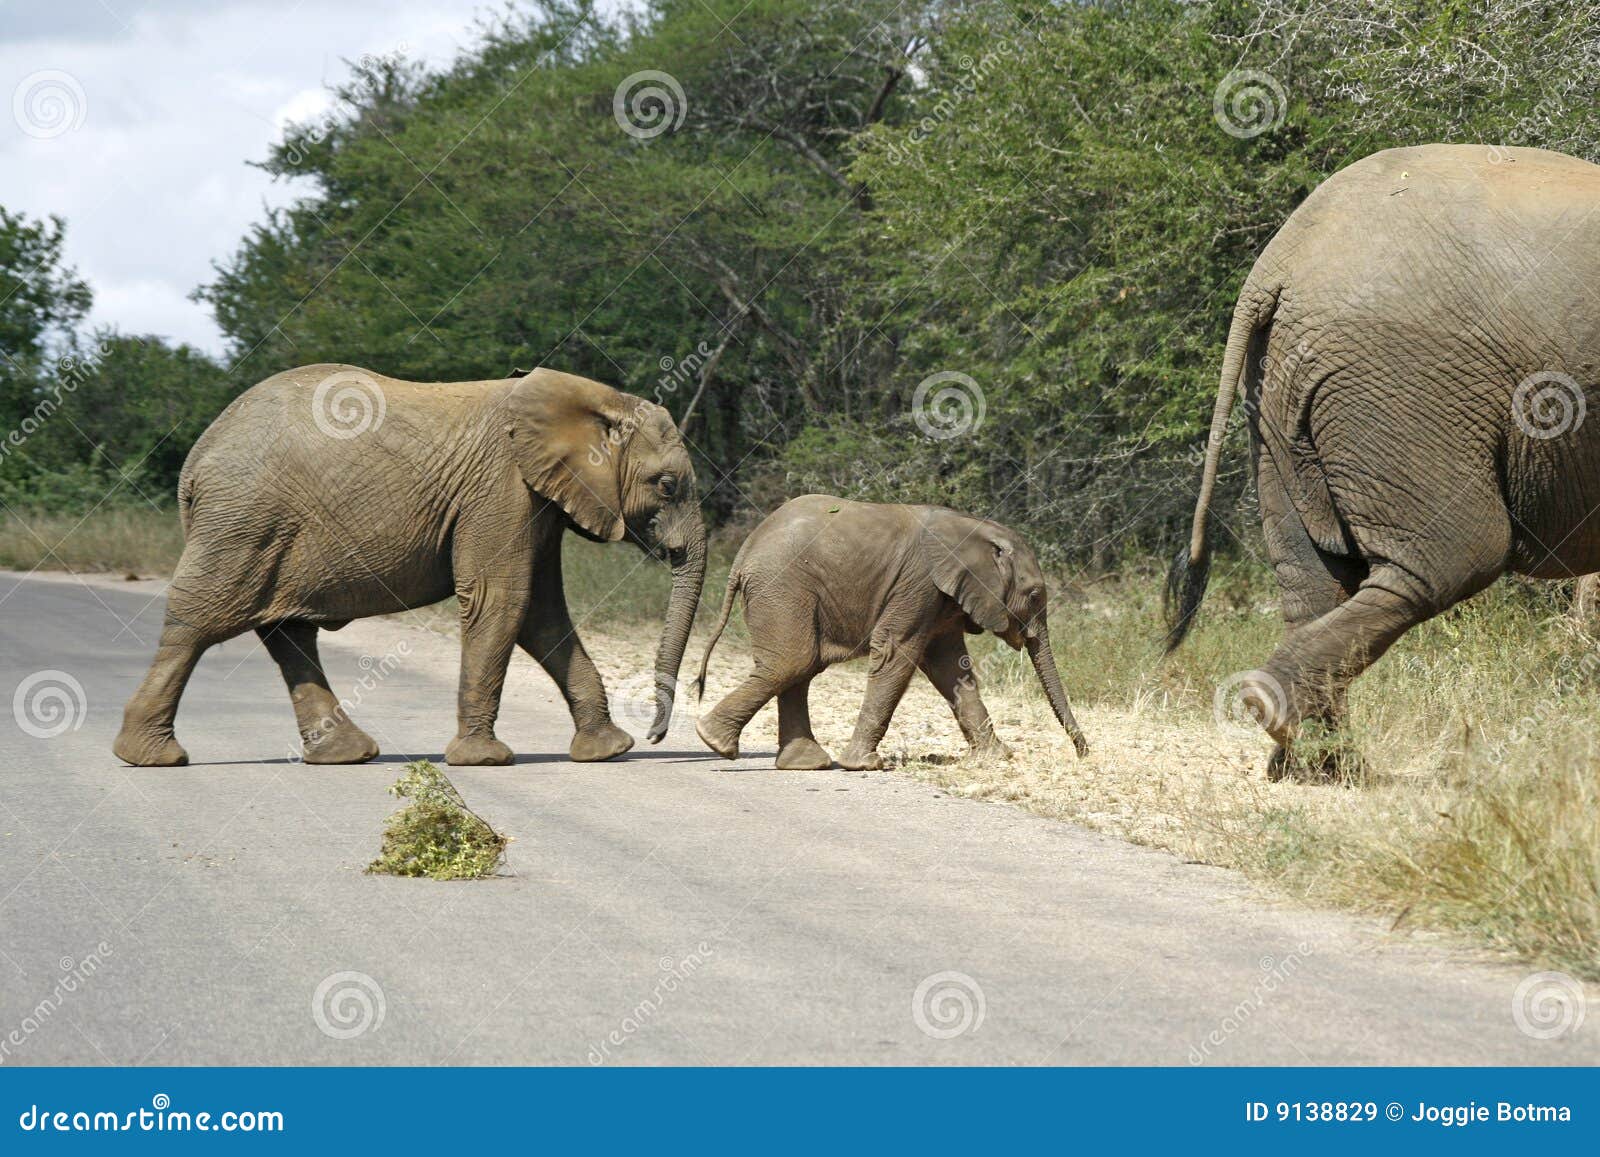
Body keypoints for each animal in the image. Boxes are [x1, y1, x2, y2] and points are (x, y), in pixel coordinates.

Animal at [113, 363, 705, 767]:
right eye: (666, 485)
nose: (656, 736)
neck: (595, 397)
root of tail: (195, 462)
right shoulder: (500, 490)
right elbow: (501, 600)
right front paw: (484, 760)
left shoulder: (535, 500)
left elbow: (541, 614)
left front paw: (607, 751)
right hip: (242, 521)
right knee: (196, 624)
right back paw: (151, 758)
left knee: (287, 633)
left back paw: (347, 755)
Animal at [692, 495, 1089, 770]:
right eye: (1035, 595)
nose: (1084, 753)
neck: (973, 527)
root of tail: (745, 552)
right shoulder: (918, 584)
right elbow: (897, 653)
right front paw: (864, 765)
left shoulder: (943, 598)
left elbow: (951, 667)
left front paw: (997, 757)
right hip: (782, 586)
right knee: (794, 661)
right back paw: (713, 741)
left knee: (798, 667)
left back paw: (800, 763)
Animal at [1166, 143, 1600, 778]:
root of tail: (1278, 264)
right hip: (1404, 382)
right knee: (1454, 555)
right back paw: (1287, 726)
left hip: (1276, 394)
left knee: (1313, 574)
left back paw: (1316, 762)